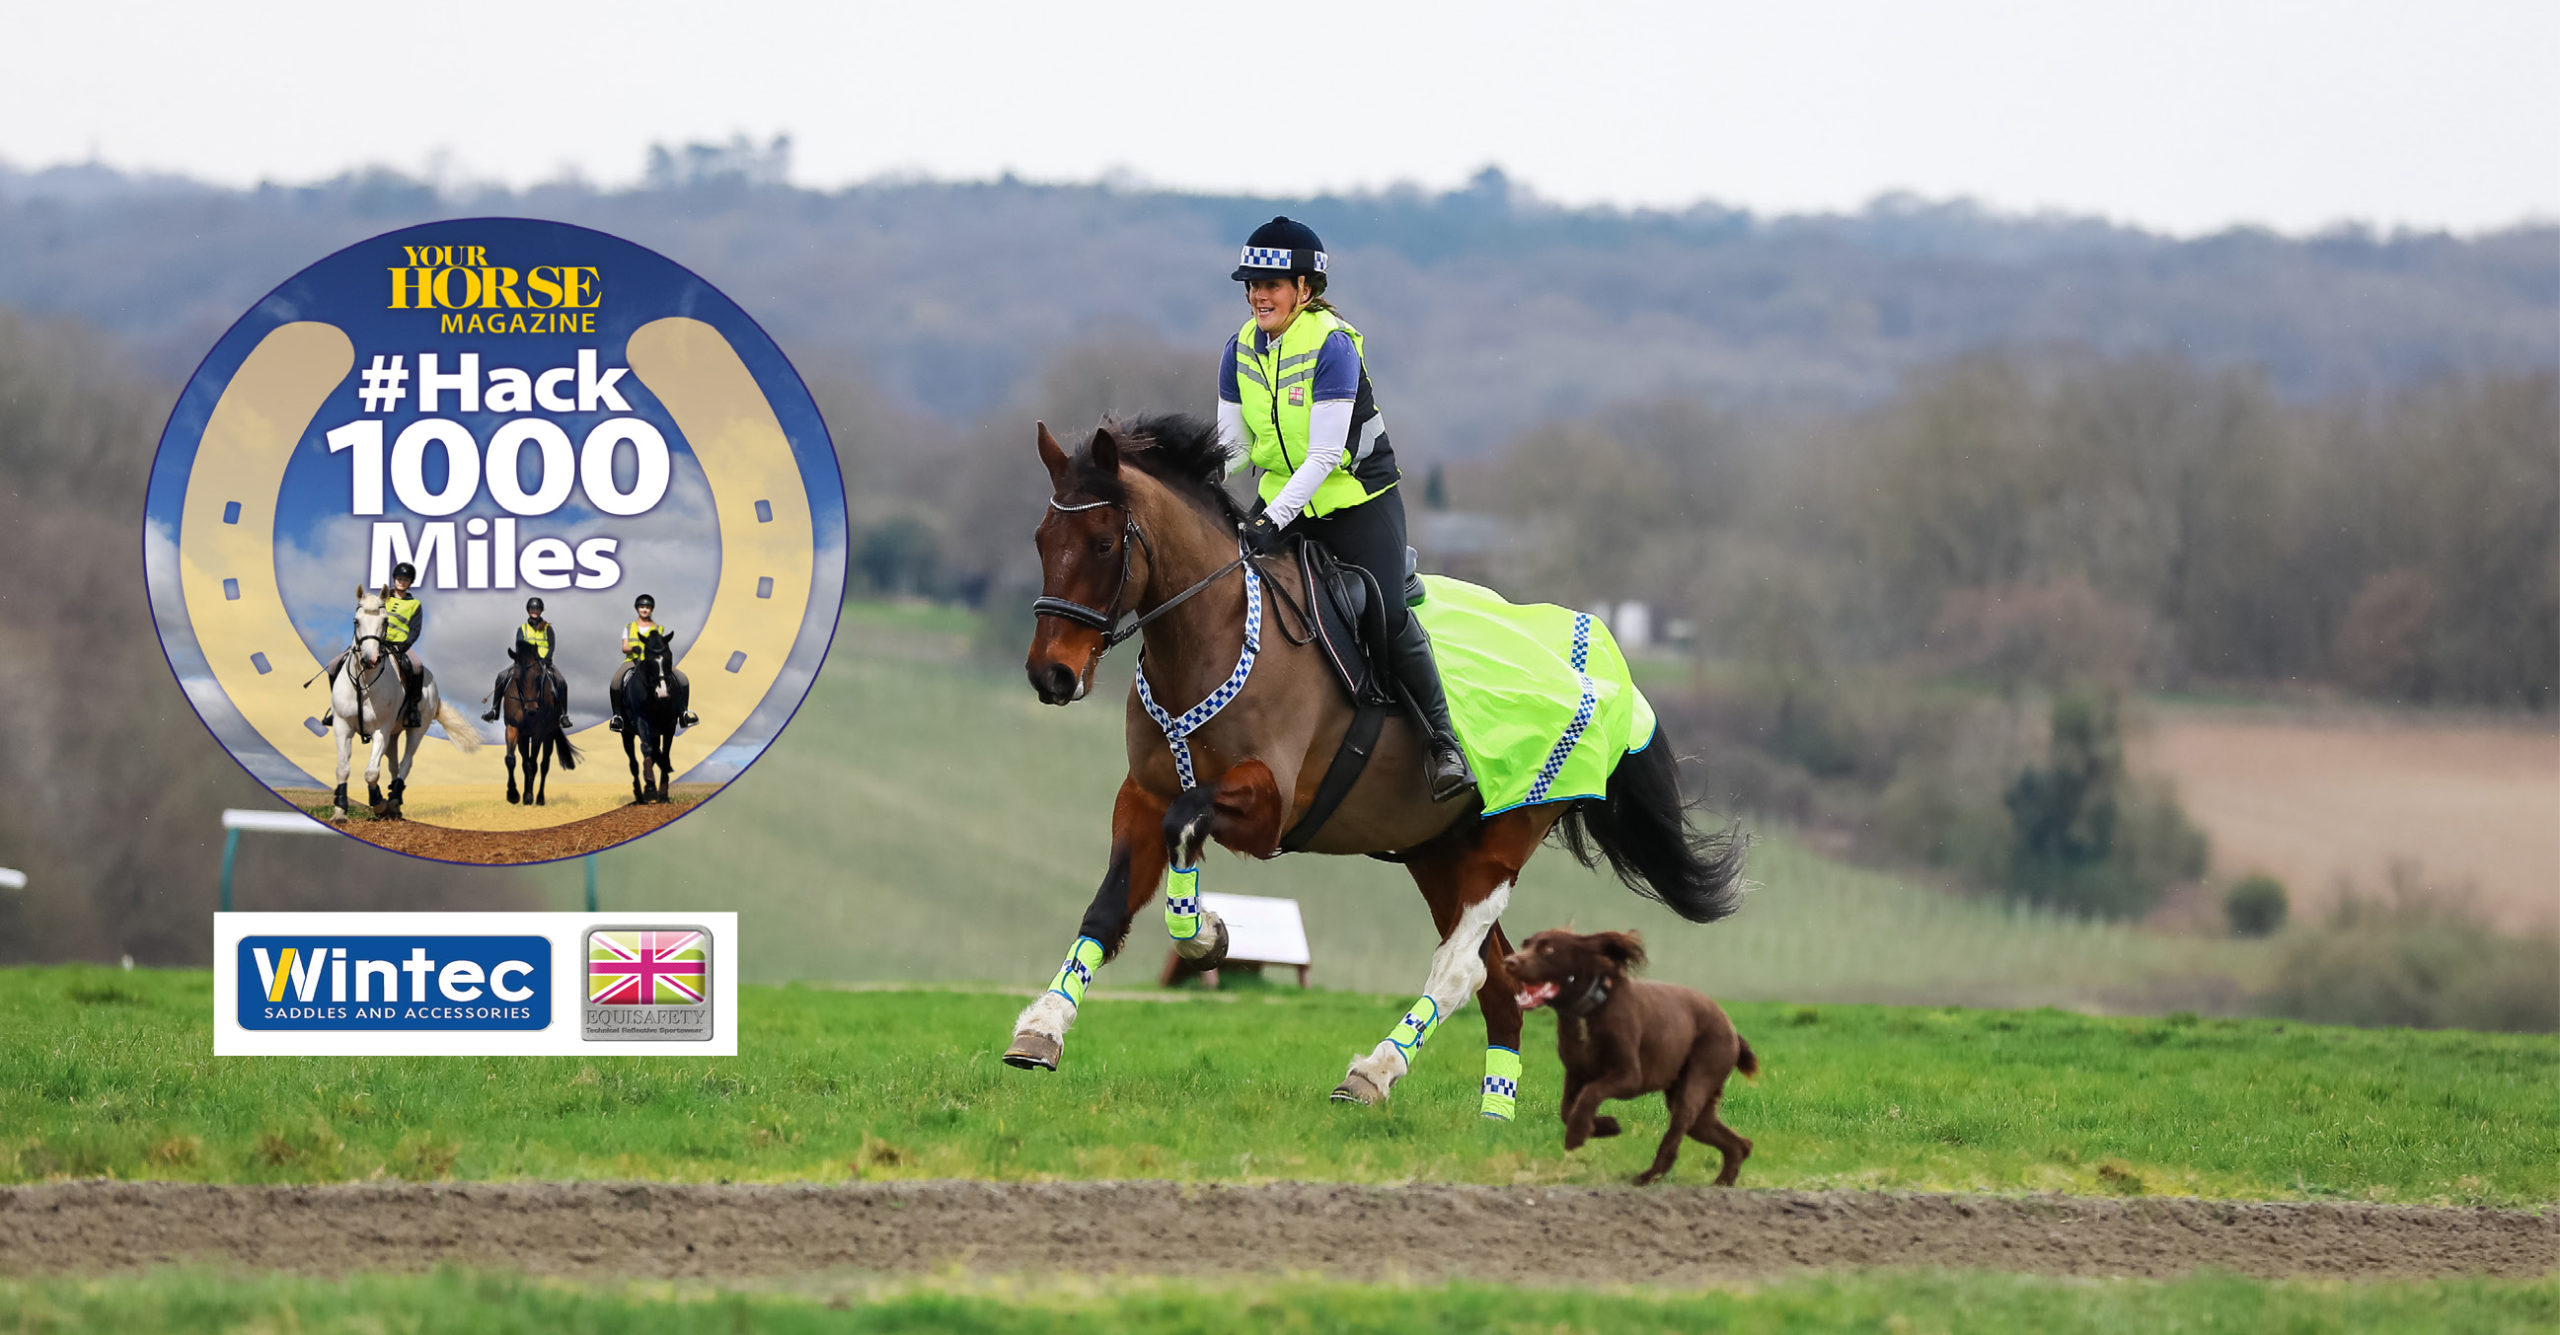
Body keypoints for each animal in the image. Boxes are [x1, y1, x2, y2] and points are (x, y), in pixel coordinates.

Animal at [324, 588, 480, 820]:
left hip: (415, 730)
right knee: (393, 765)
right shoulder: (342, 726)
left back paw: (394, 801)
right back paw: (393, 801)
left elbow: (371, 772)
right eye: (356, 621)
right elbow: (342, 768)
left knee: (406, 763)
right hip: (394, 734)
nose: (370, 659)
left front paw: (378, 802)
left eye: (385, 621)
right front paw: (340, 811)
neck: (364, 683)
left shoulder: (381, 729)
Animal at [498, 643, 579, 807]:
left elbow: (533, 765)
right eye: (517, 678)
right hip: (524, 738)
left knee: (543, 765)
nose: (531, 710)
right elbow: (511, 759)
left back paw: (540, 798)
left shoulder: (538, 733)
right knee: (525, 762)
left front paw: (529, 796)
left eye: (537, 677)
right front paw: (513, 795)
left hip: (549, 736)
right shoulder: (513, 728)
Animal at [616, 628, 684, 804]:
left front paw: (663, 793)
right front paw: (651, 790)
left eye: (669, 657)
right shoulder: (641, 720)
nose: (663, 693)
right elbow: (647, 748)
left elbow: (664, 754)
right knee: (633, 763)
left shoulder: (669, 725)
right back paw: (639, 796)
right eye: (648, 659)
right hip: (626, 734)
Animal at [1007, 417, 1746, 1119]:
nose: (1051, 675)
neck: (1205, 637)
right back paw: (1492, 1114)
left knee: (1460, 970)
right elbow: (1110, 904)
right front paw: (1041, 1029)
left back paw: (1372, 1074)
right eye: (1041, 539)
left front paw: (1208, 934)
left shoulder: (1268, 808)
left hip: (1504, 839)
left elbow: (1187, 824)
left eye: (1105, 544)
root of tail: (1612, 680)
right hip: (1436, 849)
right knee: (1498, 979)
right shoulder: (1143, 793)